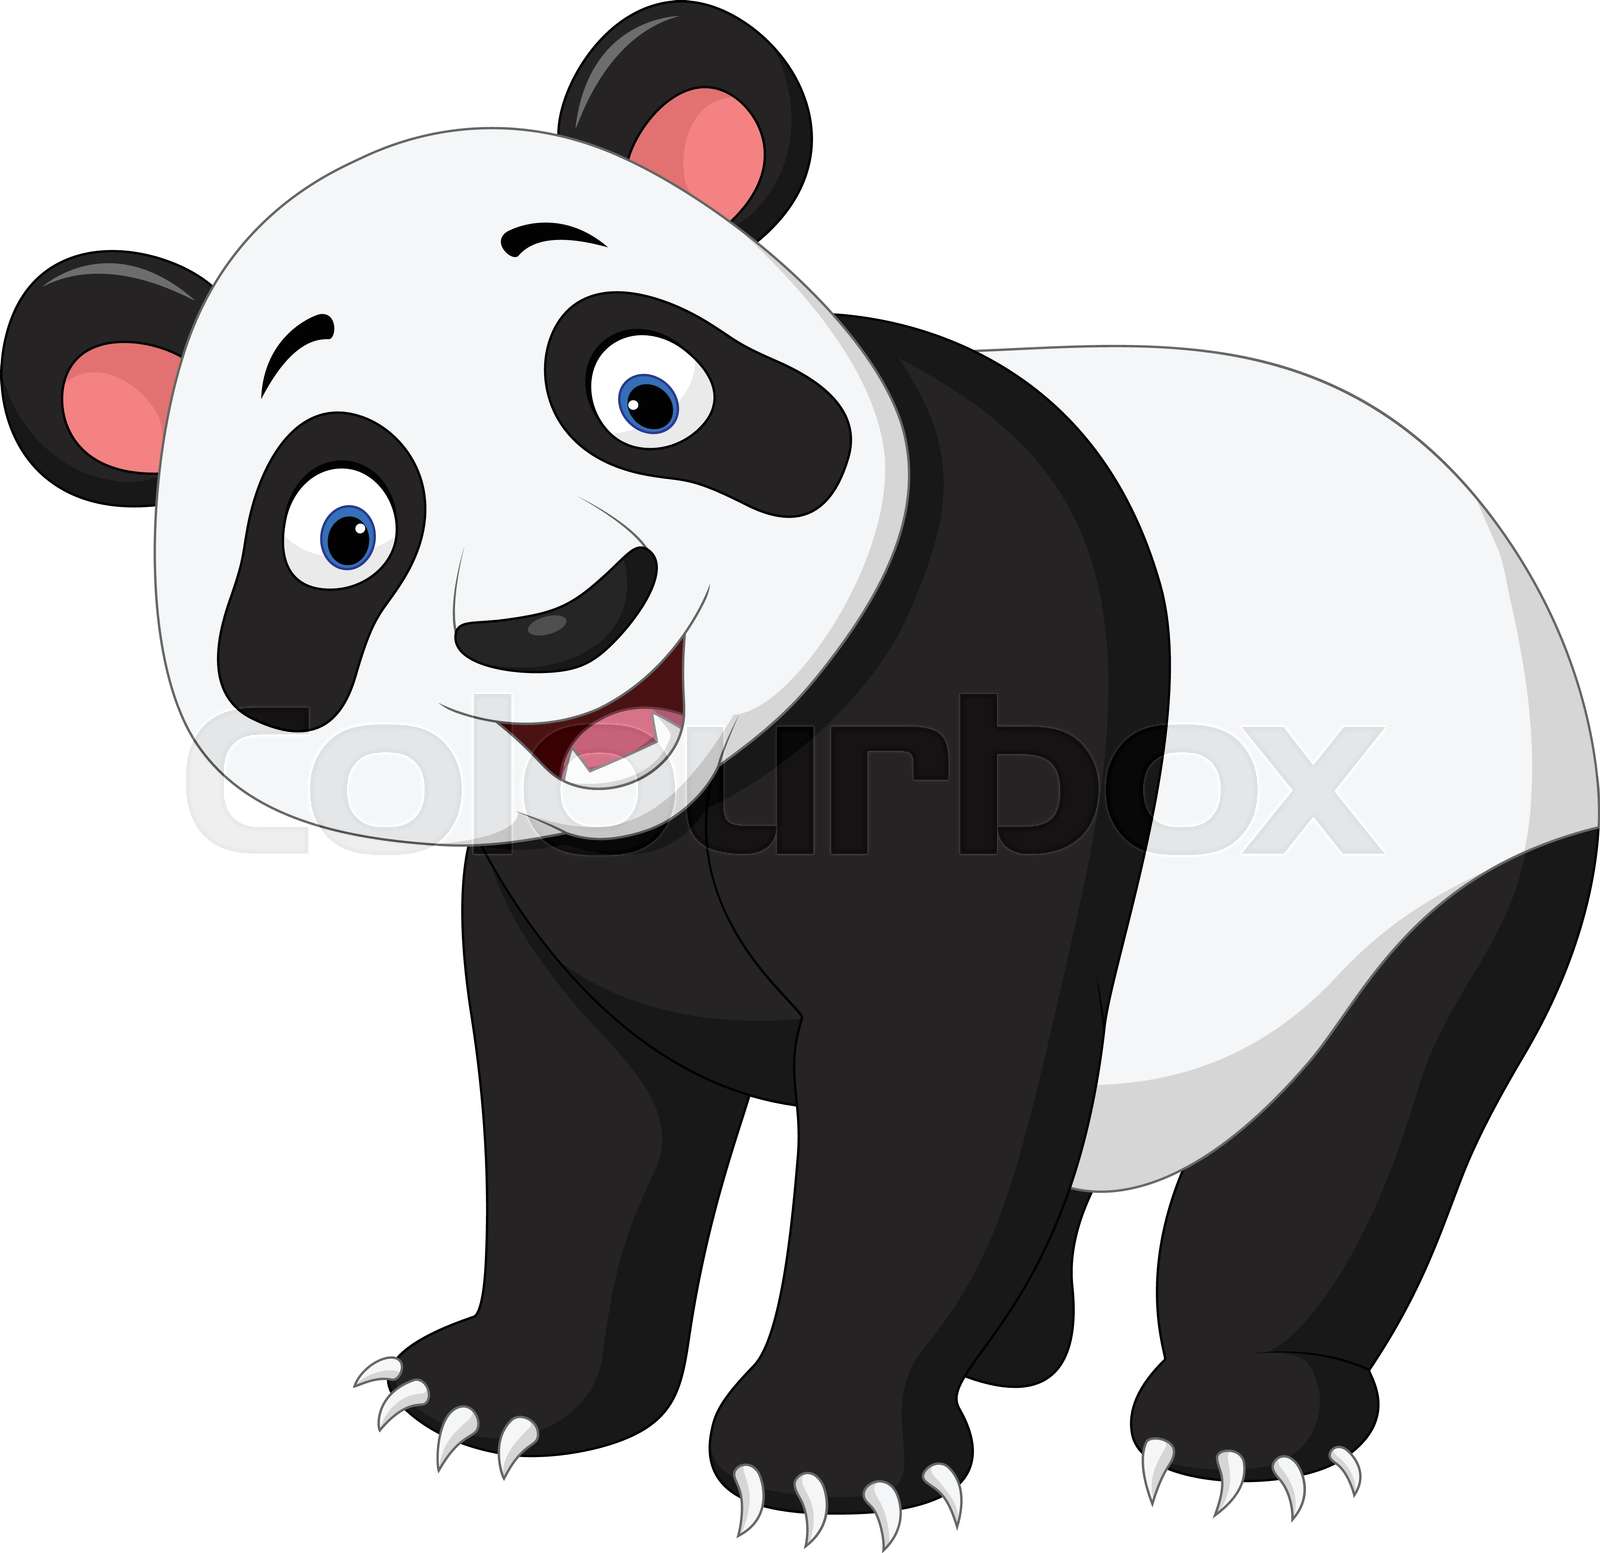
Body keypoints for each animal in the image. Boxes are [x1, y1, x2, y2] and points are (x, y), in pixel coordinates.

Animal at [2, 2, 1594, 1544]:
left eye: (644, 395)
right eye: (342, 530)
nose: (560, 618)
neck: (692, 780)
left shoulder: (985, 687)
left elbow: (927, 1089)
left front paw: (822, 1458)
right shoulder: (556, 884)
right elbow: (579, 1111)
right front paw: (494, 1391)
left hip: (1448, 873)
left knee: (1342, 1139)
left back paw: (1236, 1423)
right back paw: (1017, 1349)